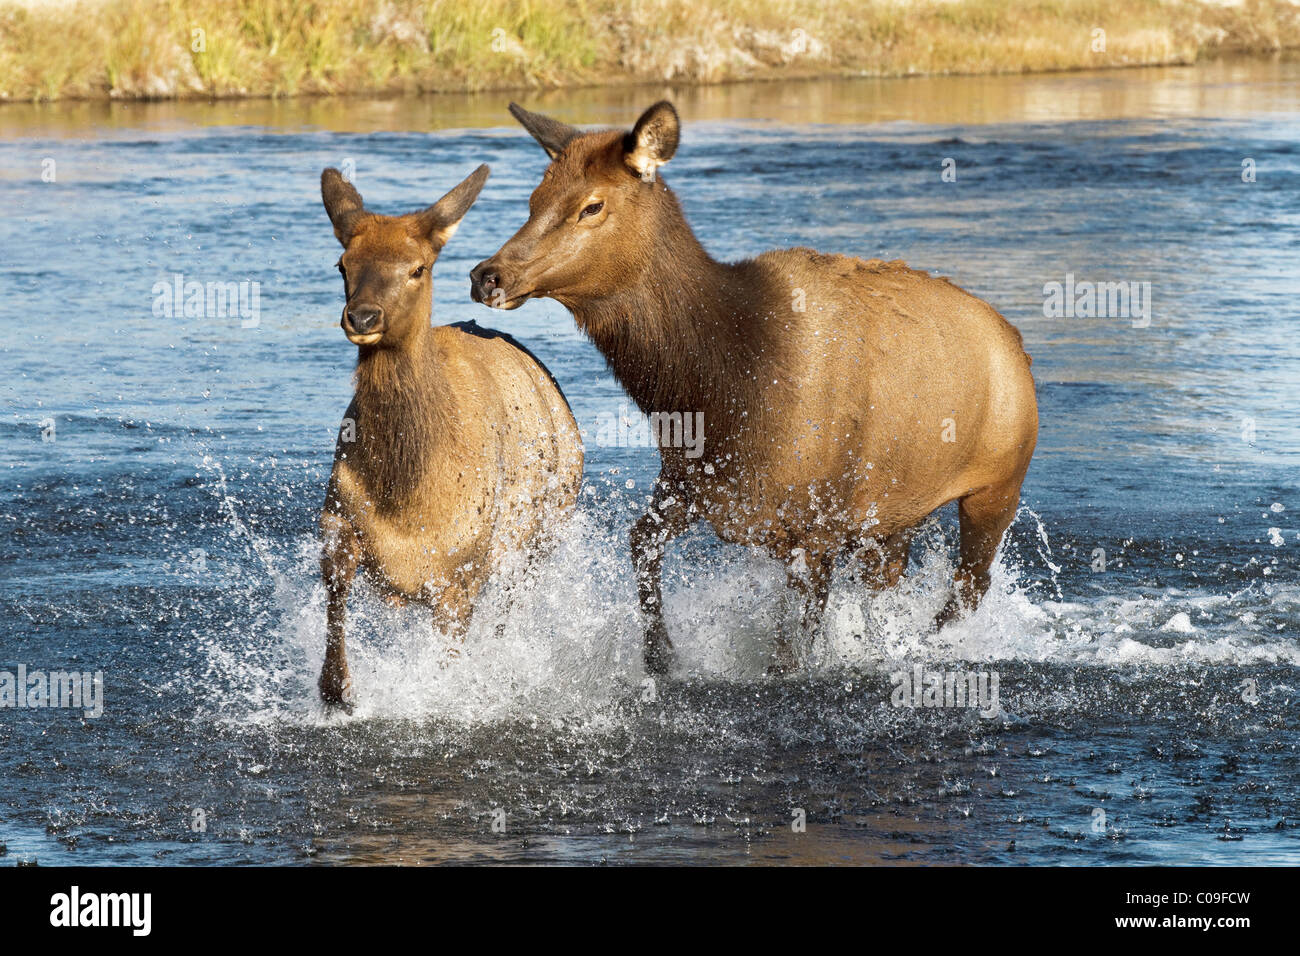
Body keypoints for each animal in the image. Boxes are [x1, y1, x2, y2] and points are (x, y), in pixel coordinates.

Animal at [317, 163, 583, 709]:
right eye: (342, 263)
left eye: (417, 268)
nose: (363, 317)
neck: (406, 494)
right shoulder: (336, 513)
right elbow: (334, 582)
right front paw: (337, 689)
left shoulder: (462, 573)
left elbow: (450, 663)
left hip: (539, 537)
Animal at [470, 101, 1038, 677]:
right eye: (534, 199)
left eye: (592, 206)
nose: (486, 275)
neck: (721, 392)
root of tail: (1013, 339)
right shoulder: (693, 485)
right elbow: (640, 543)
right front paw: (660, 654)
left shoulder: (818, 523)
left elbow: (790, 652)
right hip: (896, 509)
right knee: (890, 579)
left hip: (998, 484)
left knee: (969, 587)